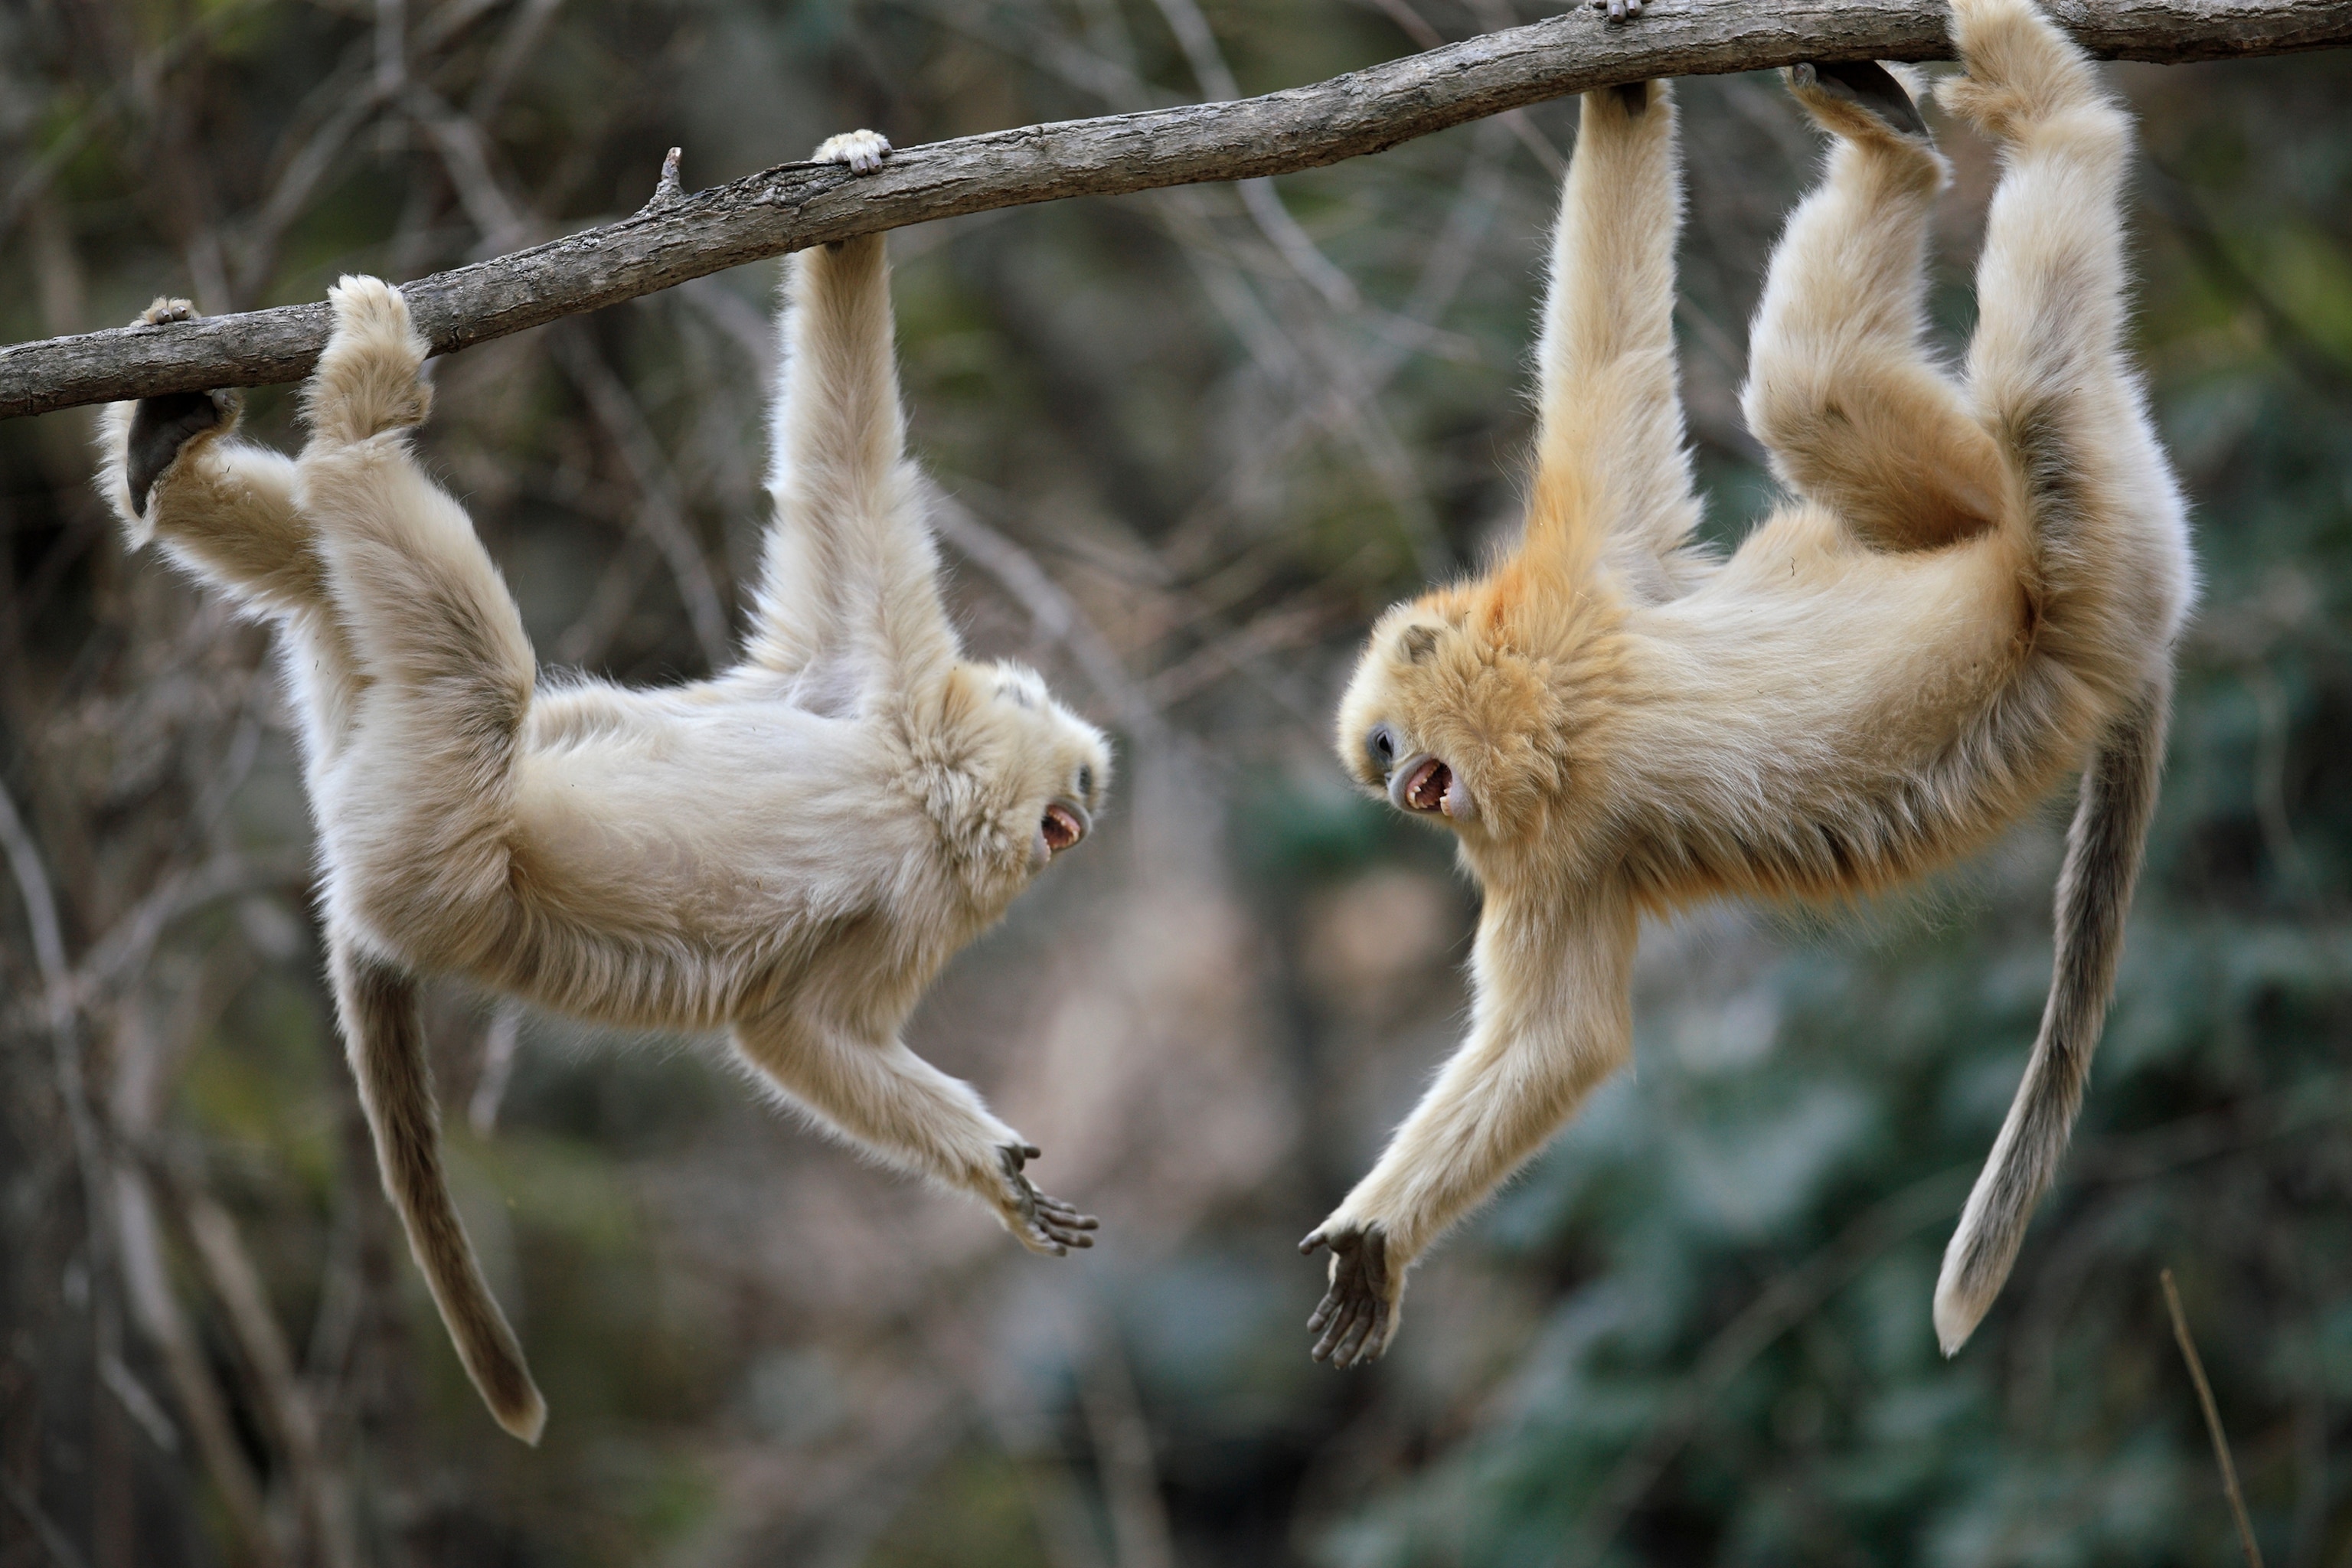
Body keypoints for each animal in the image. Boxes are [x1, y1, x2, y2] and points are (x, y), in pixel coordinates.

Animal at [96, 130, 1112, 1442]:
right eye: (1071, 798)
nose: (1079, 819)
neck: (916, 771)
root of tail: (346, 875)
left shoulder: (931, 878)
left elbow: (798, 1030)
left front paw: (991, 1176)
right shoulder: (873, 668)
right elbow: (844, 463)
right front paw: (848, 197)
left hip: (411, 837)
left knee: (440, 657)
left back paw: (237, 450)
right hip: (423, 828)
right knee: (451, 648)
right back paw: (293, 431)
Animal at [1302, 0, 2193, 1369]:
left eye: (1389, 750)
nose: (1403, 795)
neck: (1558, 711)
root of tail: (2154, 620)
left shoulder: (1580, 582)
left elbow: (1606, 357)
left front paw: (1617, 85)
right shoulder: (1548, 838)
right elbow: (1560, 1041)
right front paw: (1381, 1237)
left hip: (2095, 546)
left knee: (2025, 398)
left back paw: (2040, 107)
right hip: (2066, 554)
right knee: (1816, 389)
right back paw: (1901, 148)